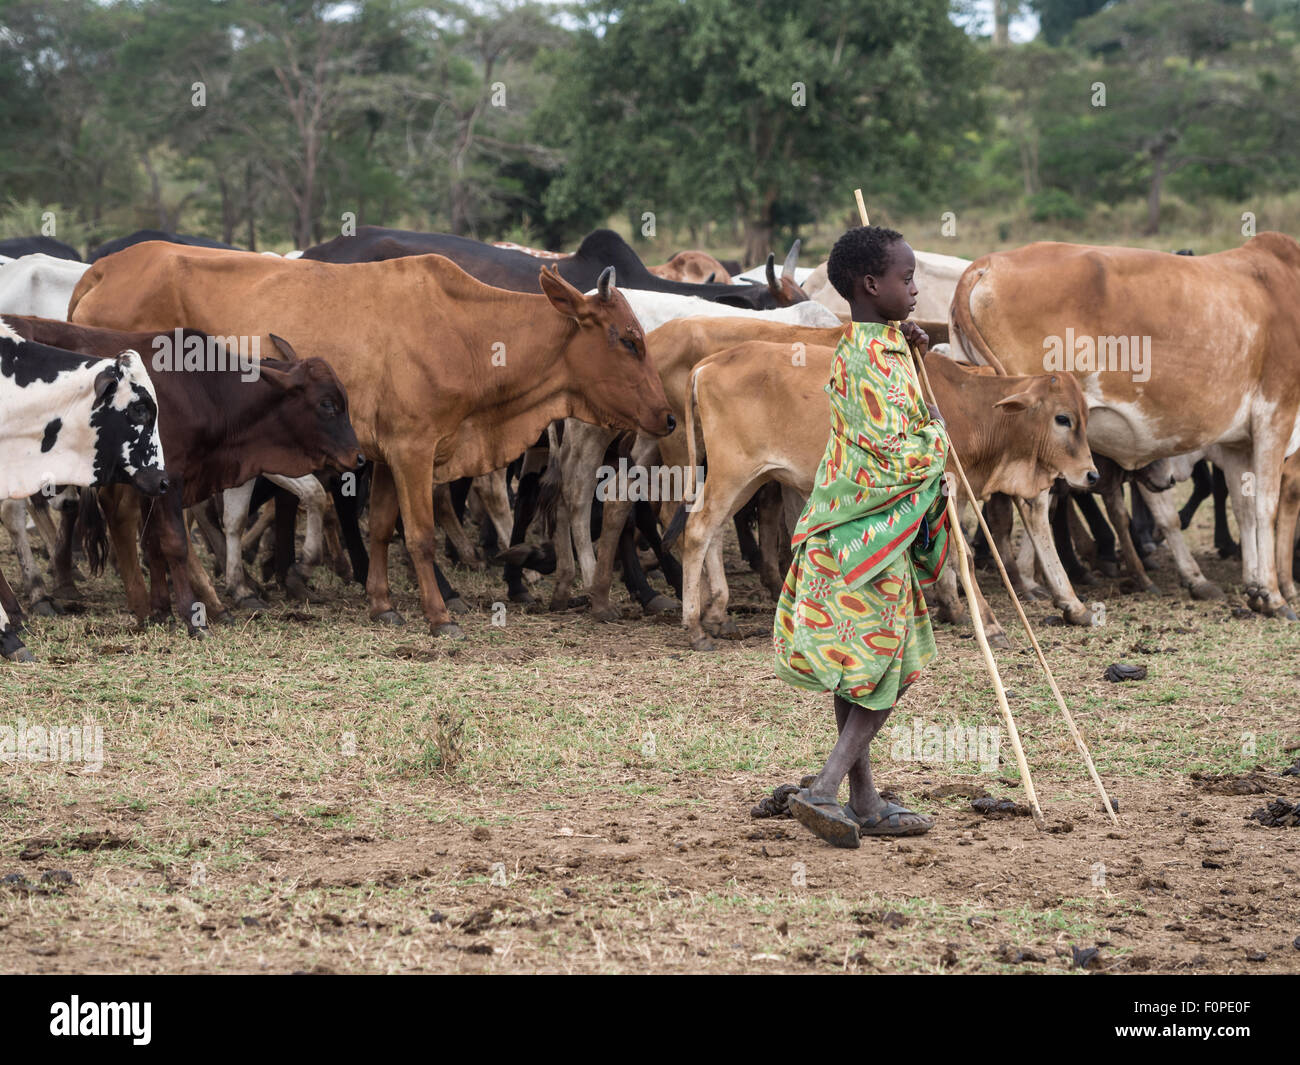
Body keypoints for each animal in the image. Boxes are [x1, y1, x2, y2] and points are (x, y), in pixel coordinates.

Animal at [67, 242, 676, 637]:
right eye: (628, 339)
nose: (668, 417)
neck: (465, 331)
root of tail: (101, 269)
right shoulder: (413, 449)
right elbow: (421, 535)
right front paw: (439, 615)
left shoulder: (384, 455)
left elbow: (382, 527)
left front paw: (382, 604)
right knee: (132, 516)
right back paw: (174, 605)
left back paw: (171, 605)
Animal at [669, 344, 1097, 649]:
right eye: (1062, 418)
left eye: (1085, 417)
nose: (1091, 473)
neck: (973, 408)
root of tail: (709, 363)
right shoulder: (948, 484)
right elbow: (966, 557)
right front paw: (989, 625)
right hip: (732, 473)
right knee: (698, 531)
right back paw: (693, 627)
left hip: (745, 480)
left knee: (712, 531)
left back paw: (717, 616)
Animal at [950, 234, 1300, 620]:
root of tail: (987, 264)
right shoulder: (1276, 415)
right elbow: (1266, 507)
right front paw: (1273, 595)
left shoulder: (1238, 442)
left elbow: (1245, 508)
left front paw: (1255, 588)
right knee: (1034, 507)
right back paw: (1068, 599)